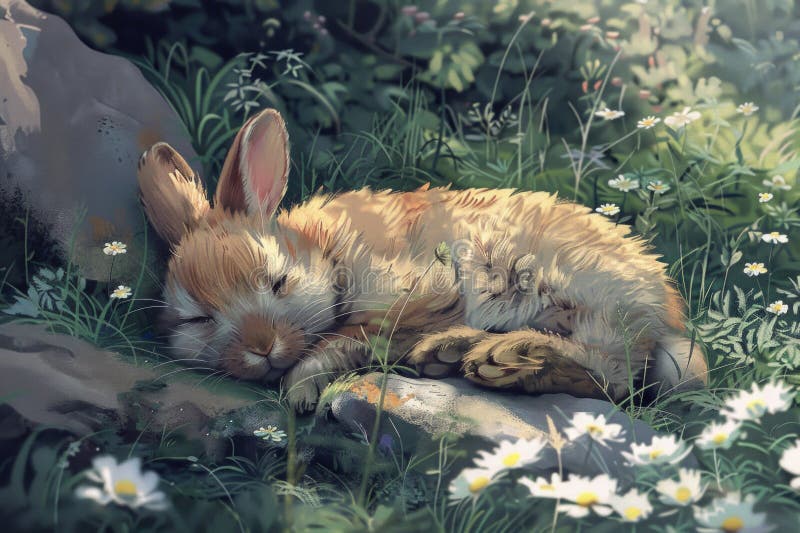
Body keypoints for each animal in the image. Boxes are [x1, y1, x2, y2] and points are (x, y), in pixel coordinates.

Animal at [138, 108, 708, 412]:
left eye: (279, 282)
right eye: (196, 319)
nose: (261, 348)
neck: (328, 253)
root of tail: (668, 316)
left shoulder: (419, 295)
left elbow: (347, 341)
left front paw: (301, 390)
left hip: (586, 297)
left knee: (613, 374)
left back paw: (502, 357)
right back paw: (456, 354)